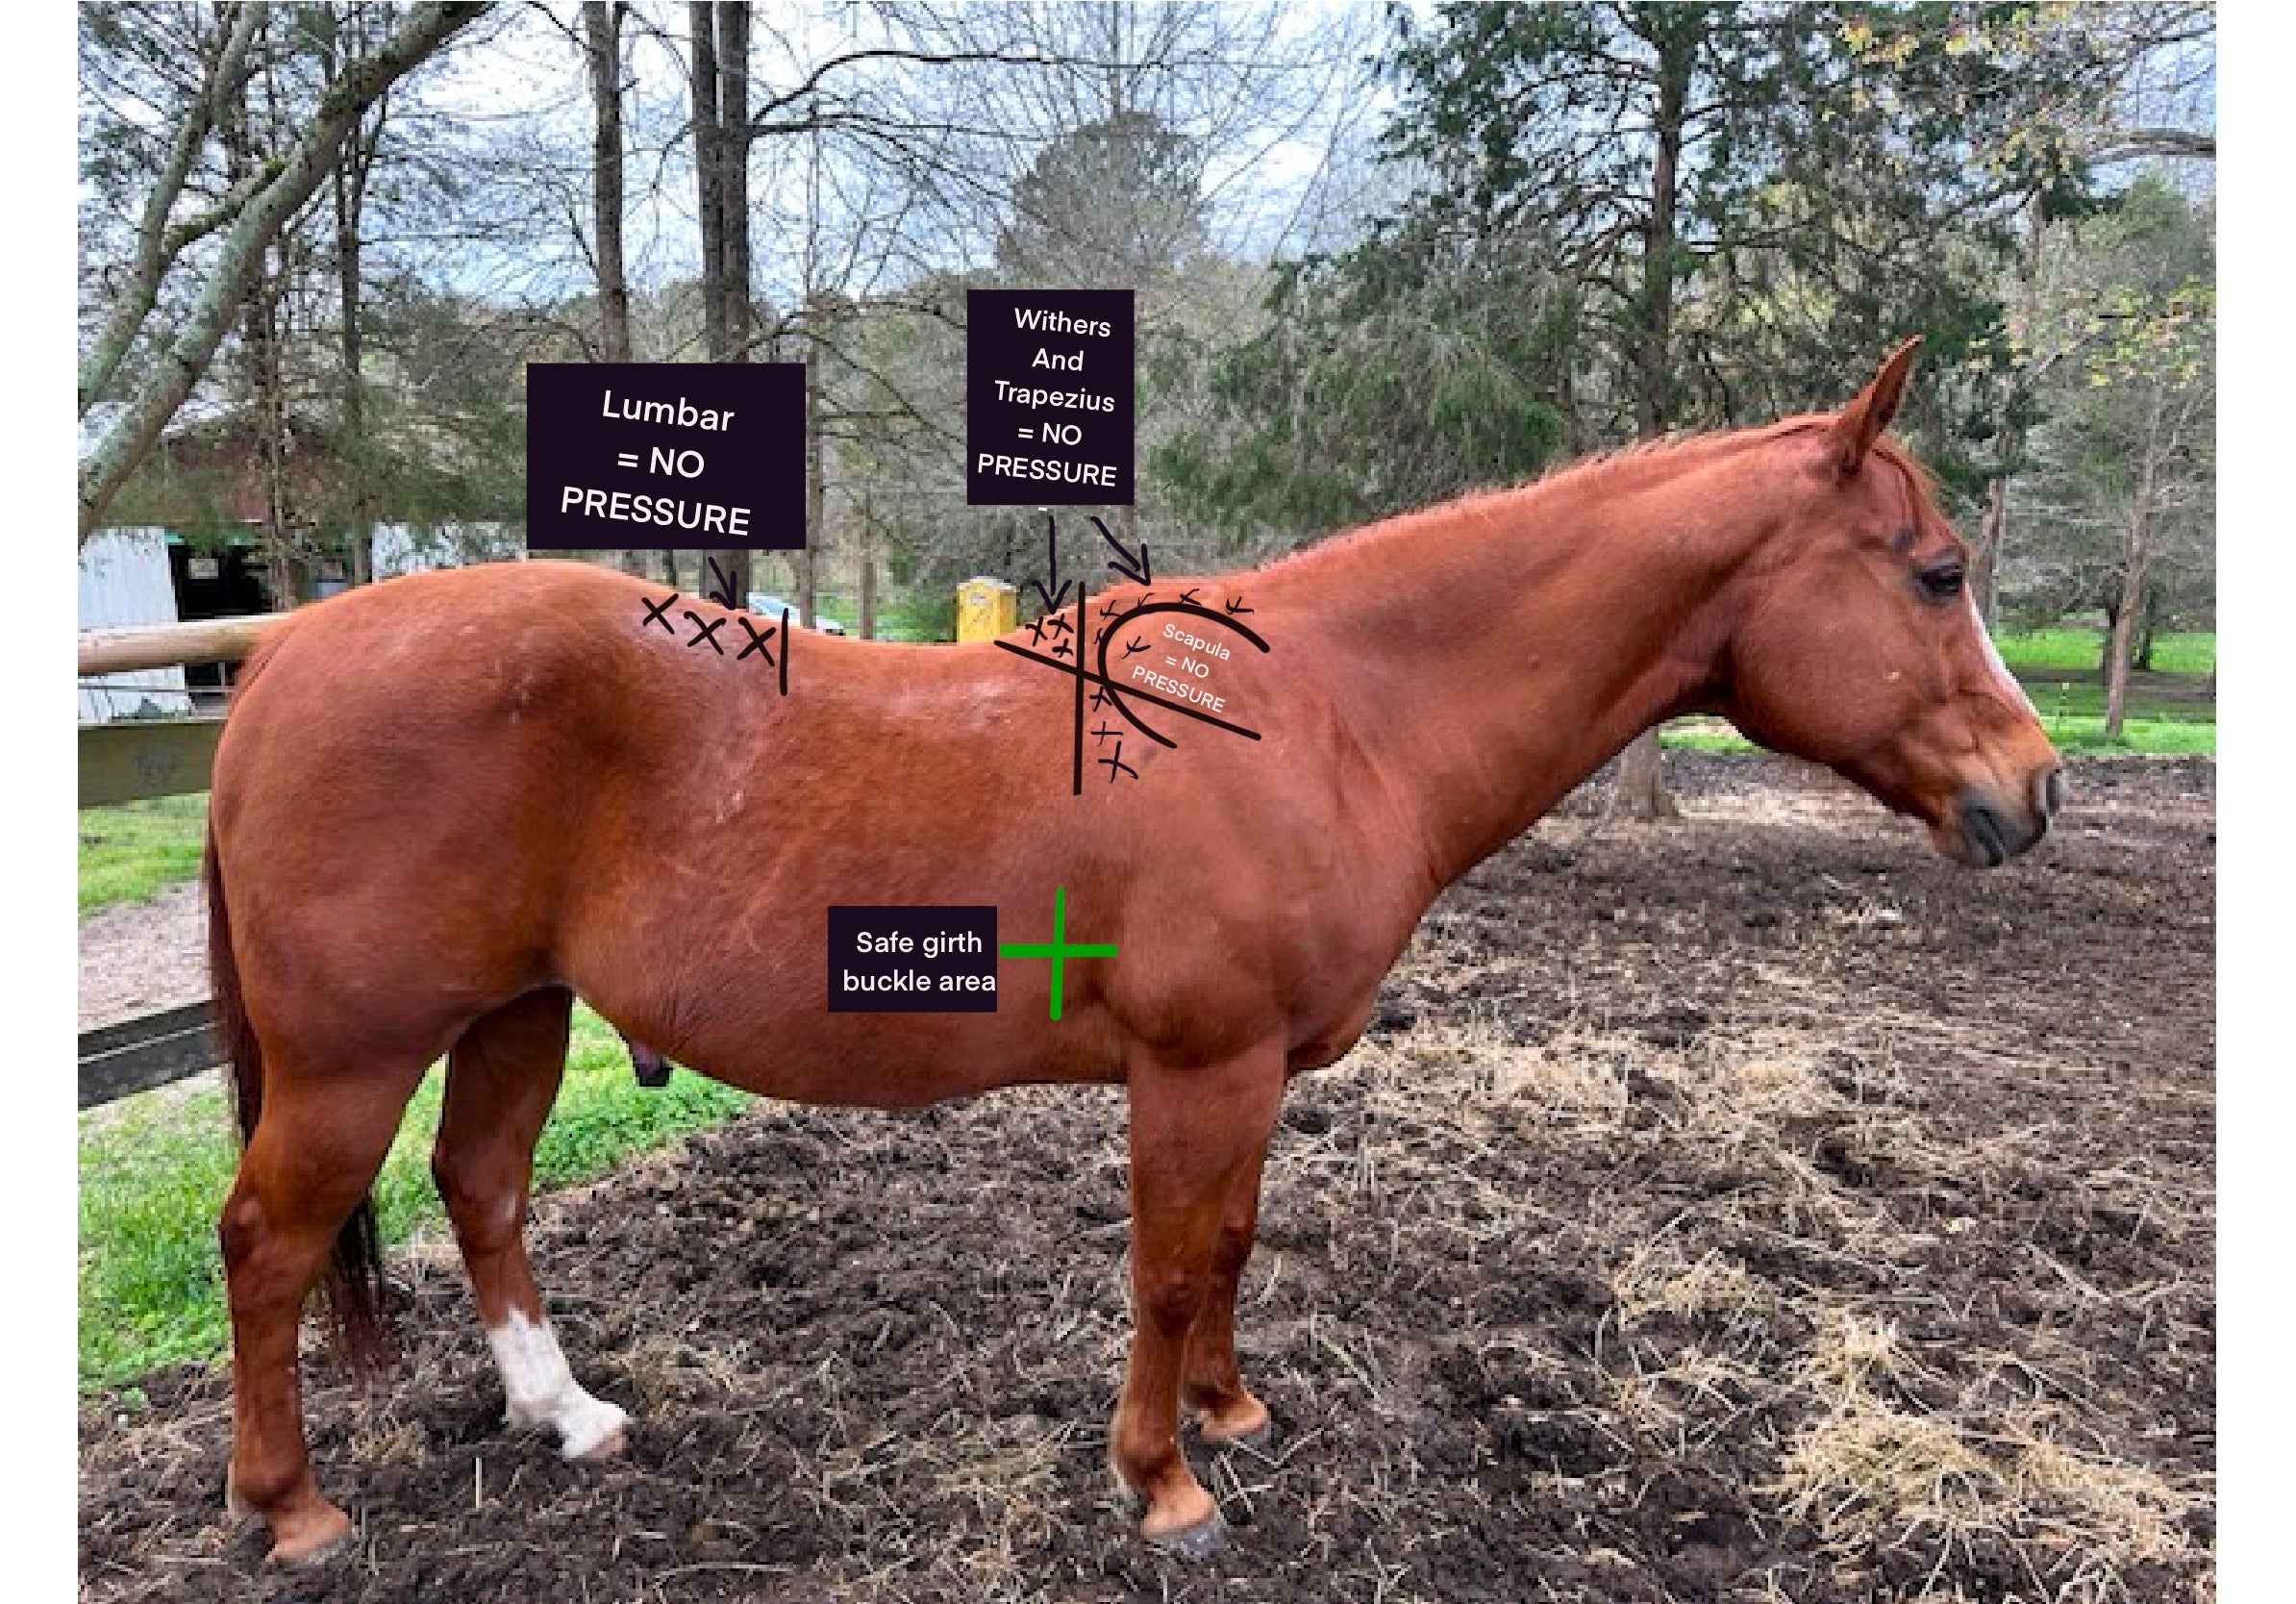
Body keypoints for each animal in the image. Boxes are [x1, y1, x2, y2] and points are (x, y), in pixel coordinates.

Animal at [203, 339, 2061, 1564]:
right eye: (1933, 571)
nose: (2034, 791)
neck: (1328, 713)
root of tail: (289, 655)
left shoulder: (1258, 1076)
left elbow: (1229, 1244)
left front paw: (1231, 1416)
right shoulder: (1196, 1064)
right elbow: (1167, 1266)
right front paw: (1164, 1484)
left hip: (516, 1010)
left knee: (483, 1190)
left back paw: (569, 1415)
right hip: (354, 1054)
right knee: (267, 1244)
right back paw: (291, 1508)